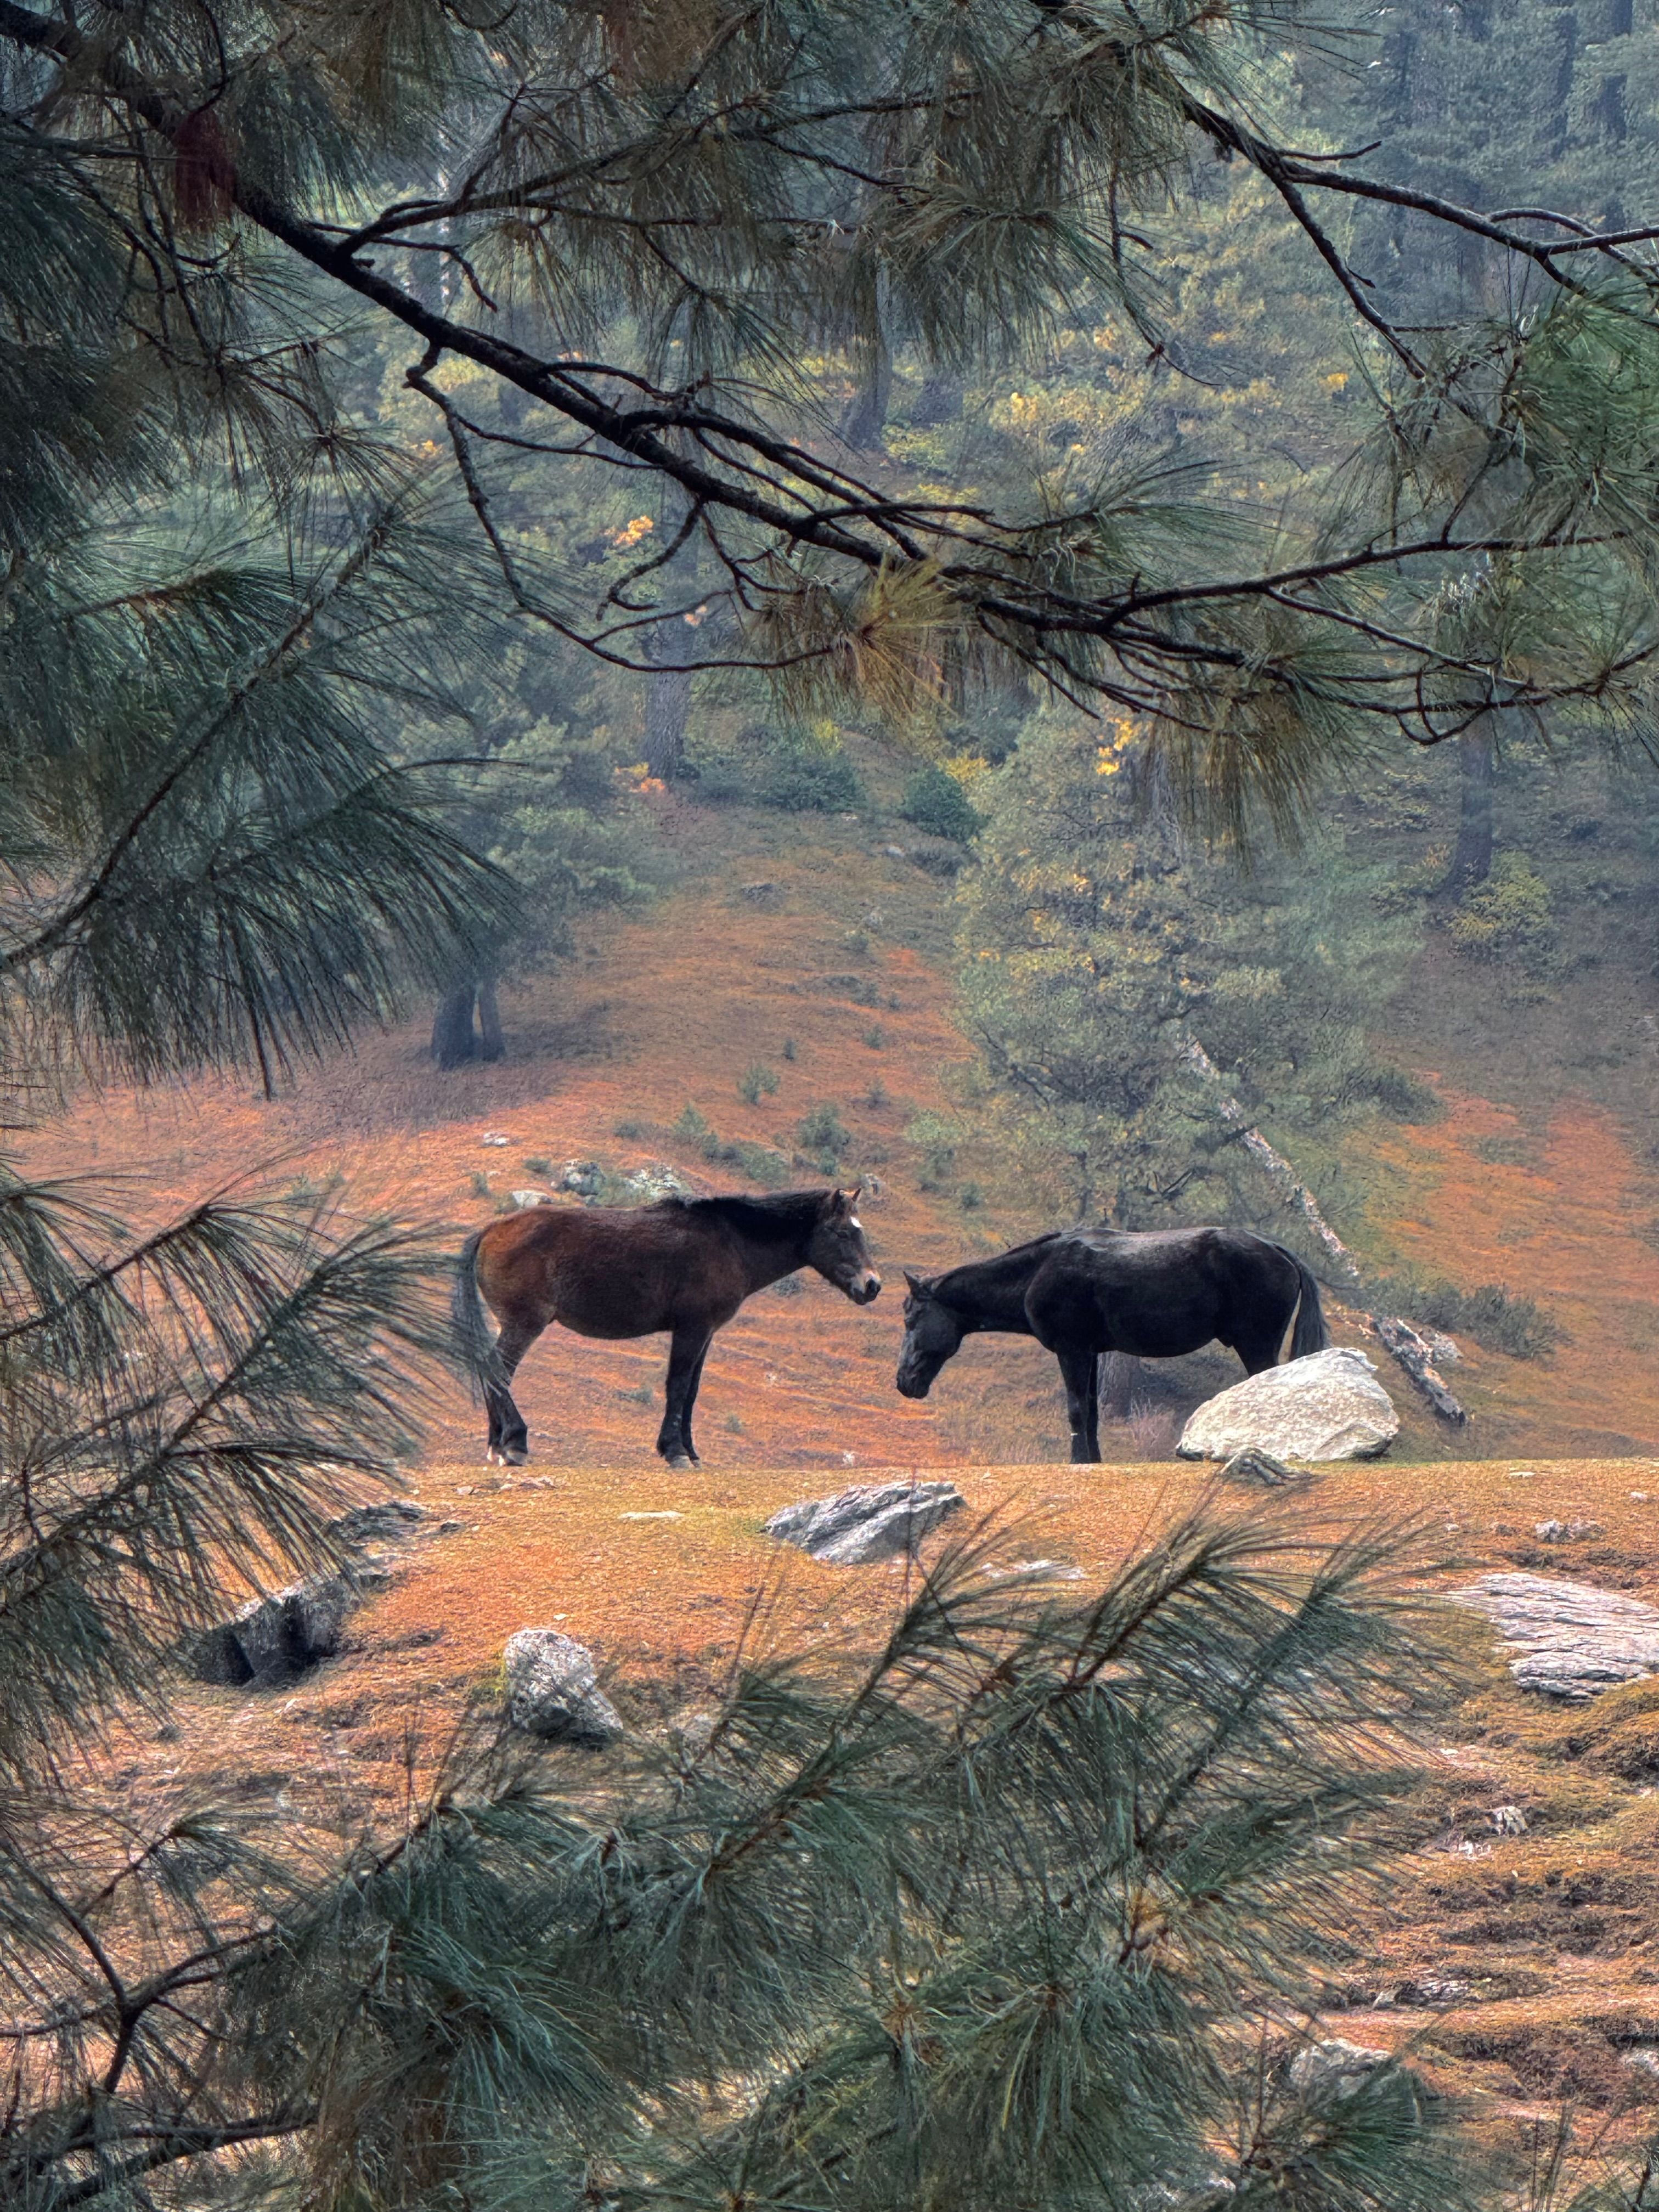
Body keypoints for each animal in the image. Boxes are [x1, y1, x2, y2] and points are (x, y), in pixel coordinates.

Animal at [452, 1187, 880, 1468]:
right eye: (842, 1232)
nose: (872, 1285)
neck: (729, 1242)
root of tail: (490, 1231)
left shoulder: (706, 1333)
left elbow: (691, 1393)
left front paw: (689, 1451)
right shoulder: (692, 1329)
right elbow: (677, 1387)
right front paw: (675, 1453)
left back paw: (496, 1444)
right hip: (524, 1324)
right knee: (497, 1371)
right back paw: (514, 1444)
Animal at [895, 1226, 1327, 1463]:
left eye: (911, 1320)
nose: (904, 1382)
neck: (1039, 1271)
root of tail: (1276, 1250)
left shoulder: (1072, 1351)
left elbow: (1074, 1410)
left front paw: (1076, 1462)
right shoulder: (1090, 1354)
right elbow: (1090, 1413)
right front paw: (1092, 1460)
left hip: (1256, 1347)